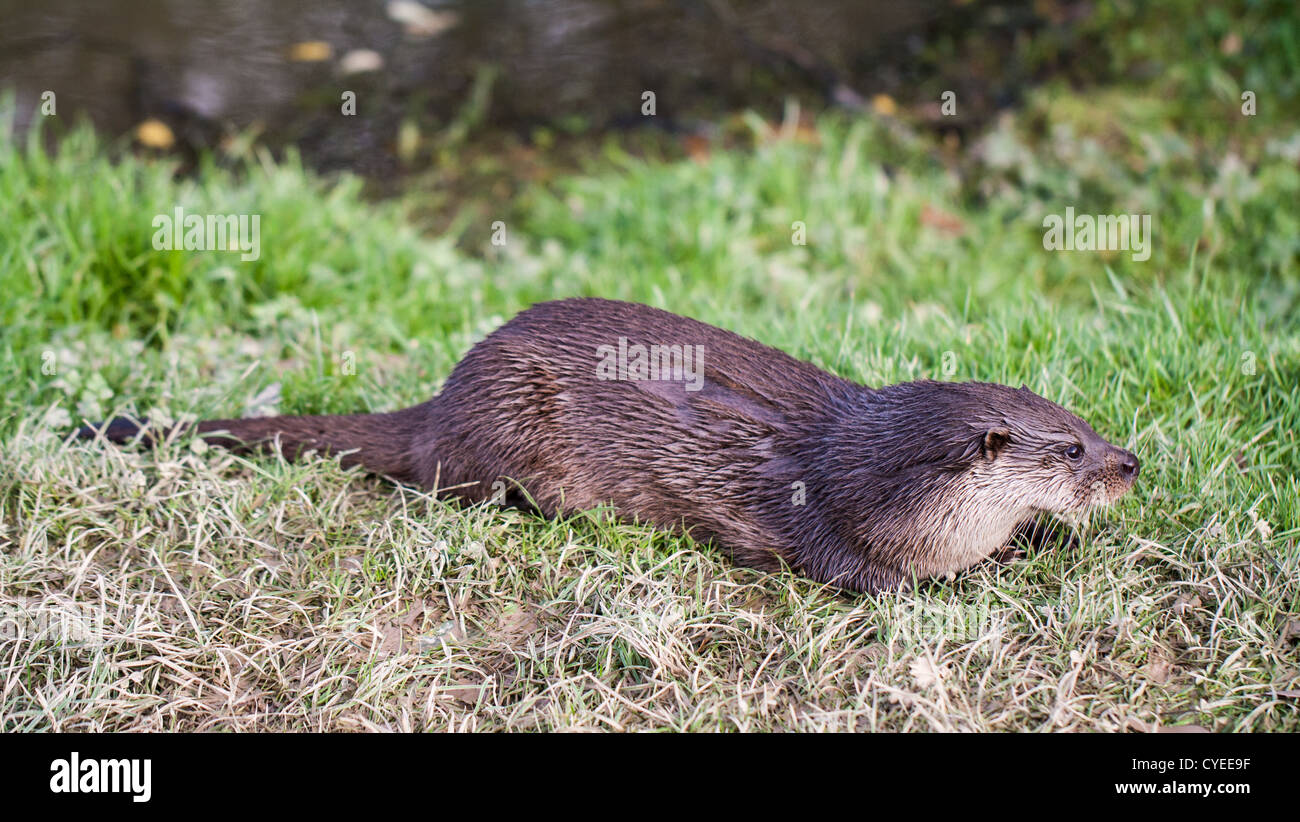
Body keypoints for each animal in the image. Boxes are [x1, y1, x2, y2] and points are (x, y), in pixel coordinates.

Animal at [79, 298, 1139, 593]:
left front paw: (1042, 540)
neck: (866, 474)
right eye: (1069, 451)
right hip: (509, 431)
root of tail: (445, 399)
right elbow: (886, 581)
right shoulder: (833, 535)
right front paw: (988, 572)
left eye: (1088, 428)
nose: (1132, 465)